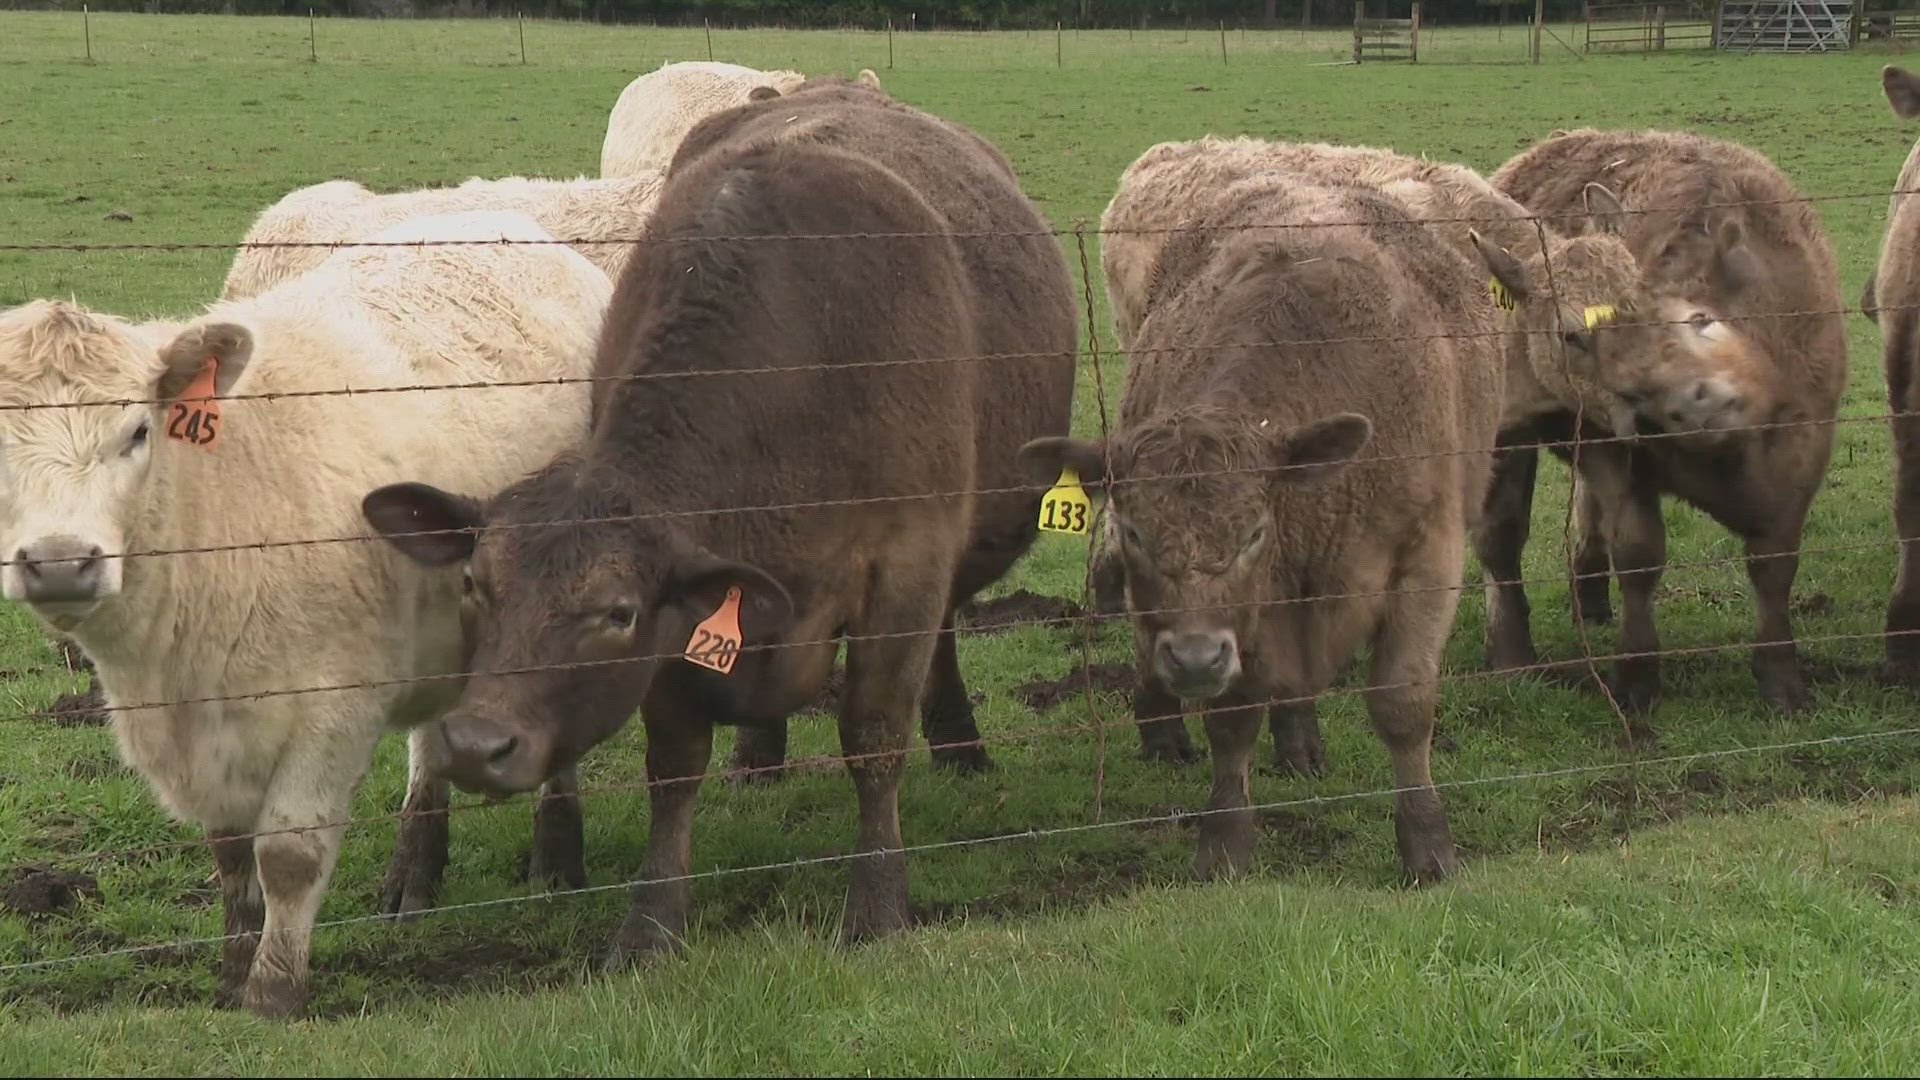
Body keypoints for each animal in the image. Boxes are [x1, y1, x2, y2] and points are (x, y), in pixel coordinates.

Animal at [0, 210, 607, 1015]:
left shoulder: (332, 708)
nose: (61, 560)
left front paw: (272, 991)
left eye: (137, 432)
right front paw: (233, 970)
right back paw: (415, 871)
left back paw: (557, 859)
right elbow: (229, 852)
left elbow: (289, 852)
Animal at [363, 76, 1075, 962]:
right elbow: (673, 765)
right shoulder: (686, 602)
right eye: (475, 588)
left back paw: (960, 744)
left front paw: (877, 903)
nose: (472, 744)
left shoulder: (907, 561)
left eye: (616, 613)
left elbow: (873, 735)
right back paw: (759, 762)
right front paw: (650, 925)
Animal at [1022, 165, 1504, 883]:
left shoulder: (1428, 557)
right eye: (1134, 533)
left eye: (1253, 533)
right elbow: (1232, 717)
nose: (1195, 657)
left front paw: (1427, 842)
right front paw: (1224, 841)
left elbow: (1403, 702)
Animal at [1493, 129, 1846, 724]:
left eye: (1699, 320)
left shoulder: (1804, 444)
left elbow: (1774, 563)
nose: (1692, 405)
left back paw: (1590, 599)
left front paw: (1782, 680)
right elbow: (1639, 557)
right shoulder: (1620, 453)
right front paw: (1637, 680)